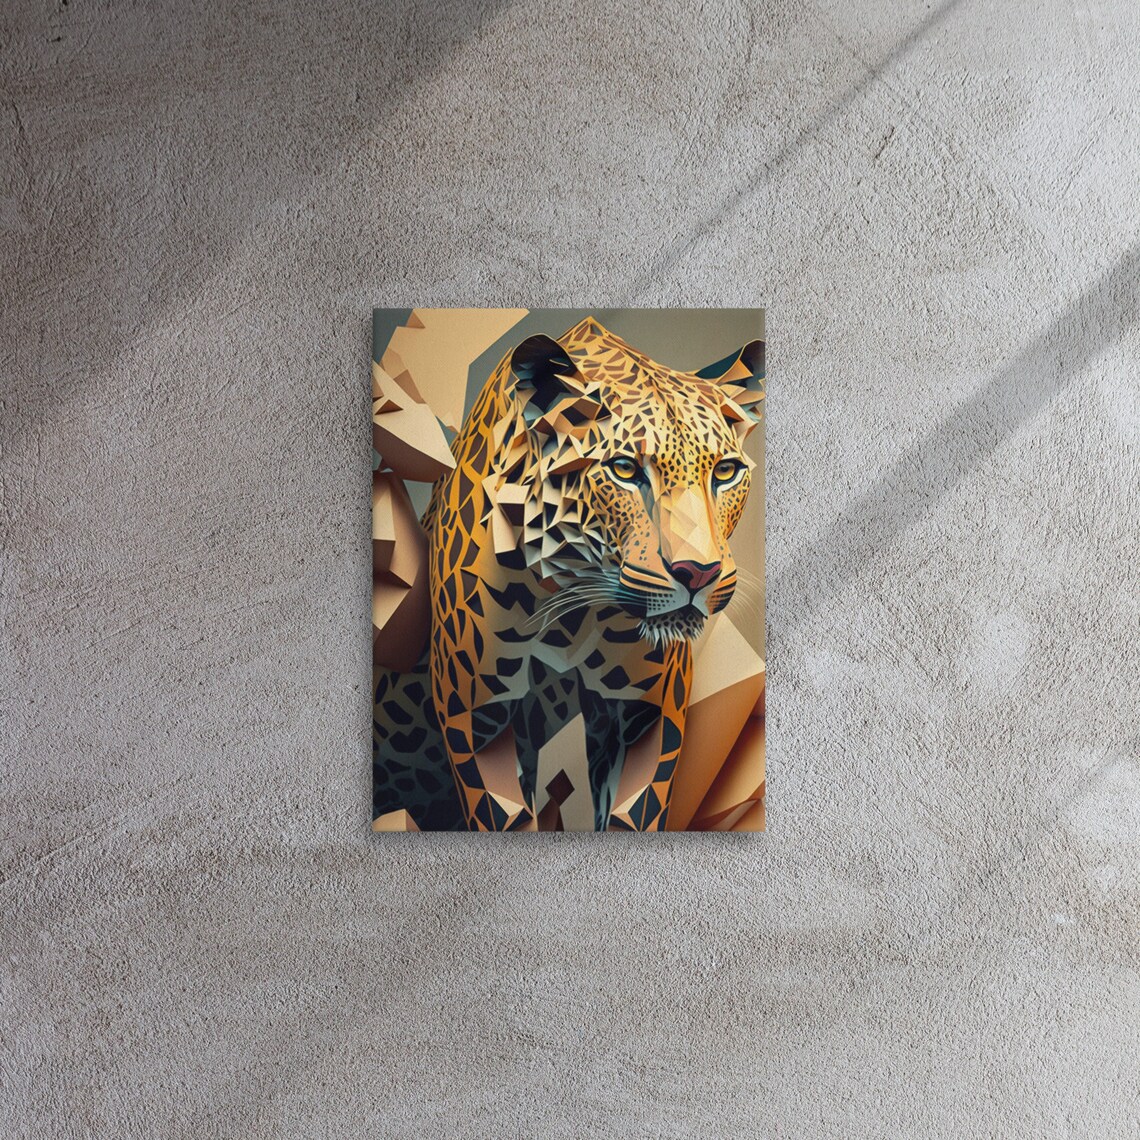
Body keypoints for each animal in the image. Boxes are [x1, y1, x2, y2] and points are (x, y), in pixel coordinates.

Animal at [372, 316, 764, 831]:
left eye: (725, 471)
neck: (575, 601)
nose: (698, 573)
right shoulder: (474, 712)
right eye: (624, 469)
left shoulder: (646, 712)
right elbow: (504, 816)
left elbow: (634, 814)